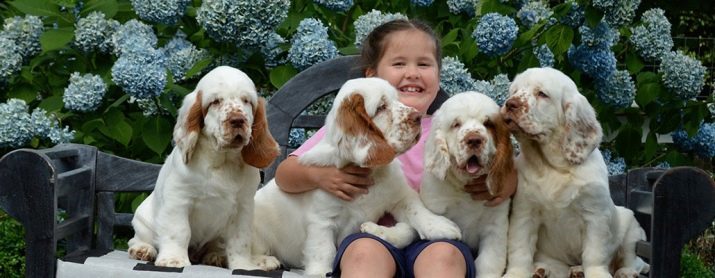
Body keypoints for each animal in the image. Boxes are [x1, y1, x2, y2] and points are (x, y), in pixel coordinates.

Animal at [130, 65, 282, 270]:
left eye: (246, 101)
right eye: (215, 102)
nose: (237, 120)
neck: (222, 161)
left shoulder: (243, 207)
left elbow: (240, 240)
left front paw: (243, 266)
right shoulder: (178, 200)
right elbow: (178, 231)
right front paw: (173, 260)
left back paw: (219, 257)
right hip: (142, 219)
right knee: (138, 239)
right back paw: (143, 250)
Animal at [420, 92, 516, 276]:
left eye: (487, 124)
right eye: (456, 124)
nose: (474, 140)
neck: (464, 189)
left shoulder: (495, 228)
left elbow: (488, 263)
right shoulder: (436, 208)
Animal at [504, 68, 648, 278]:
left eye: (542, 94)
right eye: (514, 91)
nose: (510, 104)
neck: (553, 166)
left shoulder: (595, 215)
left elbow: (594, 253)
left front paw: (597, 274)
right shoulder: (524, 212)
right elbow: (520, 249)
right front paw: (516, 273)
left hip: (631, 228)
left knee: (633, 260)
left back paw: (624, 272)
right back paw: (543, 269)